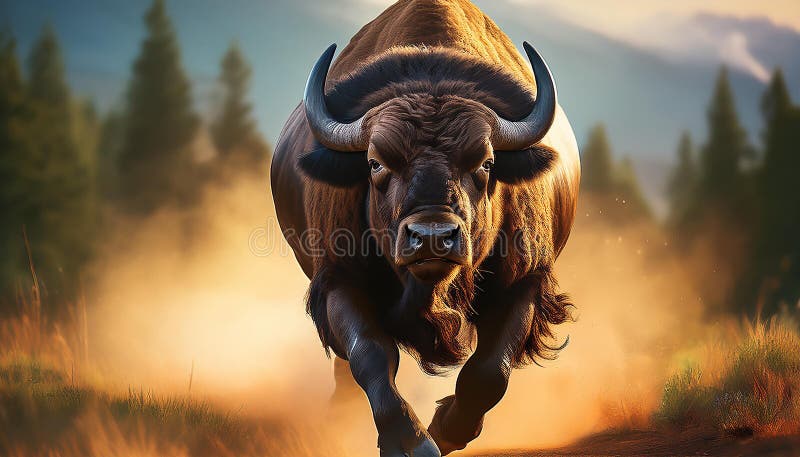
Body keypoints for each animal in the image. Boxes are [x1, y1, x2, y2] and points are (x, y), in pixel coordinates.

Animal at [271, 0, 580, 455]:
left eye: (486, 163)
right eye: (375, 162)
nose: (432, 238)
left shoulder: (524, 284)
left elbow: (490, 372)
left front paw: (445, 430)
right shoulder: (339, 281)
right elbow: (371, 356)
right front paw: (412, 441)